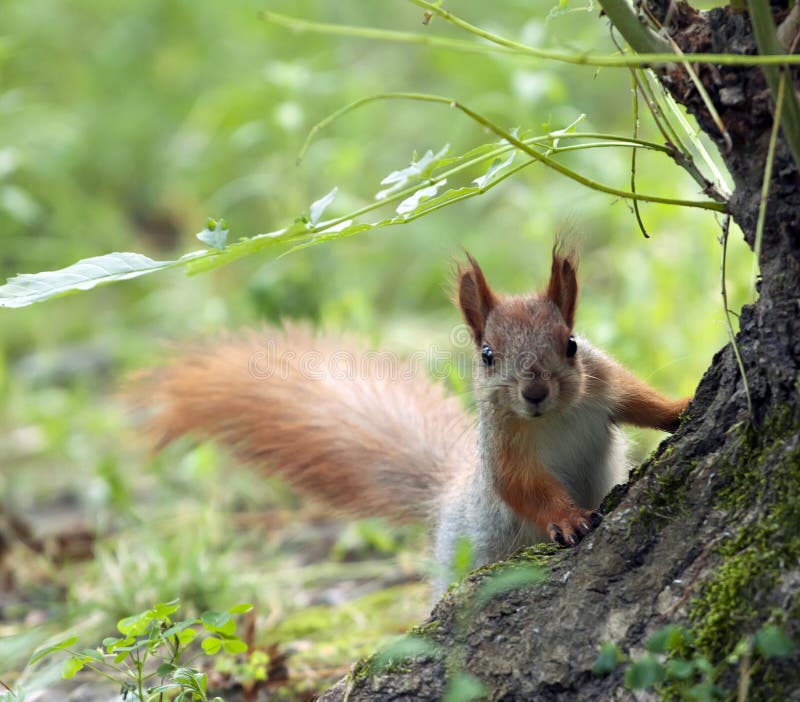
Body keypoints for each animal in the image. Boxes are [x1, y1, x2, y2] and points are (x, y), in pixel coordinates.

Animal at [135, 244, 690, 592]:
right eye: (487, 355)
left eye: (570, 344)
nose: (534, 392)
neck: (551, 418)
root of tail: (446, 500)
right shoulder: (502, 449)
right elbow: (523, 488)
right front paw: (569, 518)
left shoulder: (604, 382)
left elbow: (642, 402)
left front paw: (682, 408)